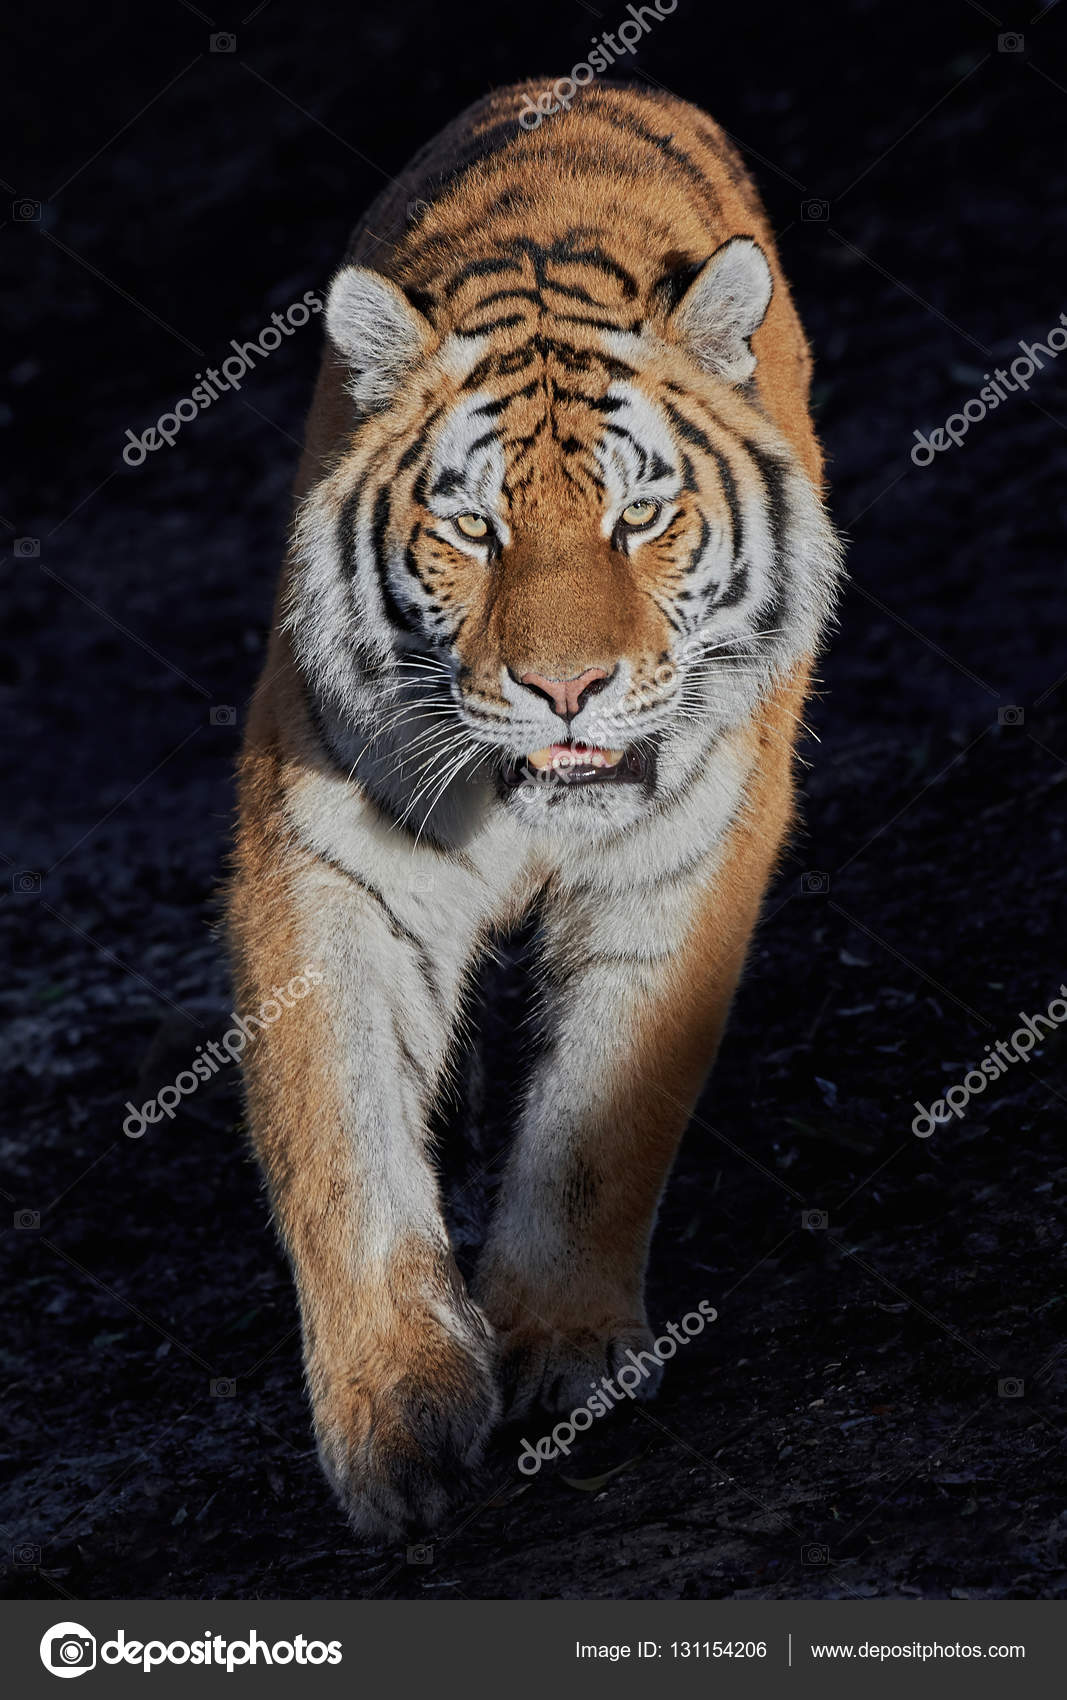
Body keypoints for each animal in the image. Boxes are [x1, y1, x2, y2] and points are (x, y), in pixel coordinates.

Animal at [227, 77, 843, 1538]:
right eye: (474, 531)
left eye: (638, 519)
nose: (566, 688)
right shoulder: (326, 858)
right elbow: (340, 1134)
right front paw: (395, 1414)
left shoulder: (682, 856)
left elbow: (605, 1112)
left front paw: (560, 1350)